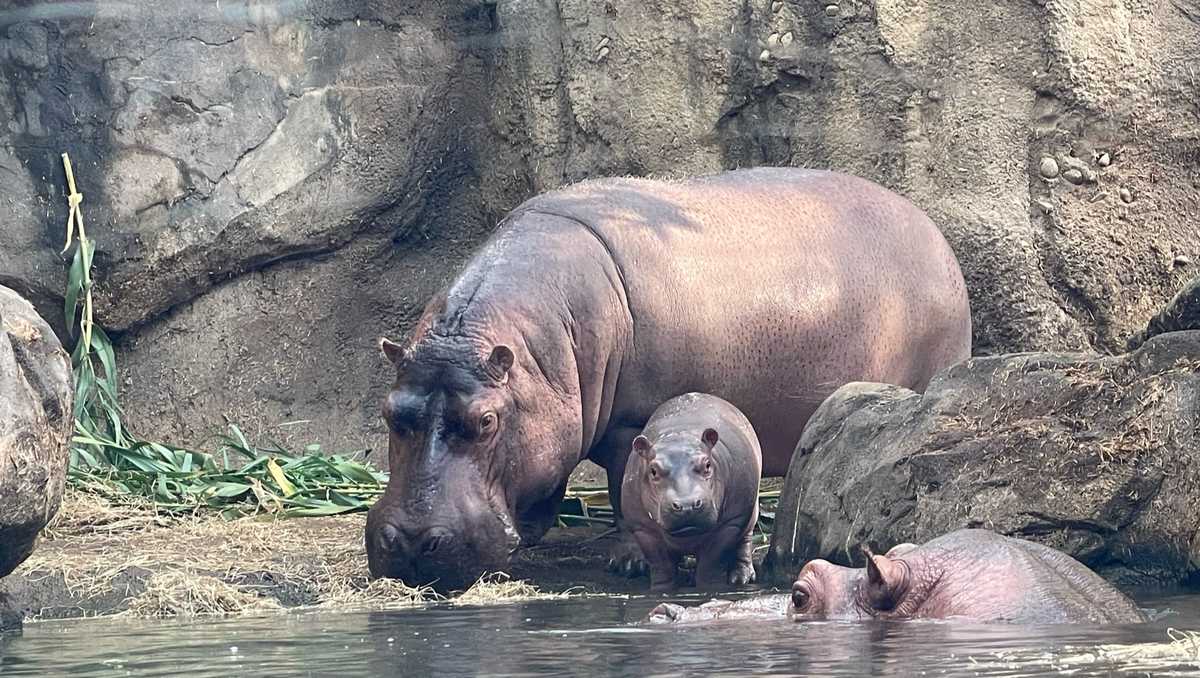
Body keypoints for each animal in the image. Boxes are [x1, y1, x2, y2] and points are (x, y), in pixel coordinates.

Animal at [621, 393, 762, 592]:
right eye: (653, 471)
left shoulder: (729, 524)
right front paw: (661, 590)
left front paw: (709, 588)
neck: (678, 436)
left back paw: (740, 578)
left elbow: (712, 560)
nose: (687, 505)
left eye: (707, 465)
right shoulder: (643, 529)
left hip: (750, 513)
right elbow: (660, 563)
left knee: (745, 541)